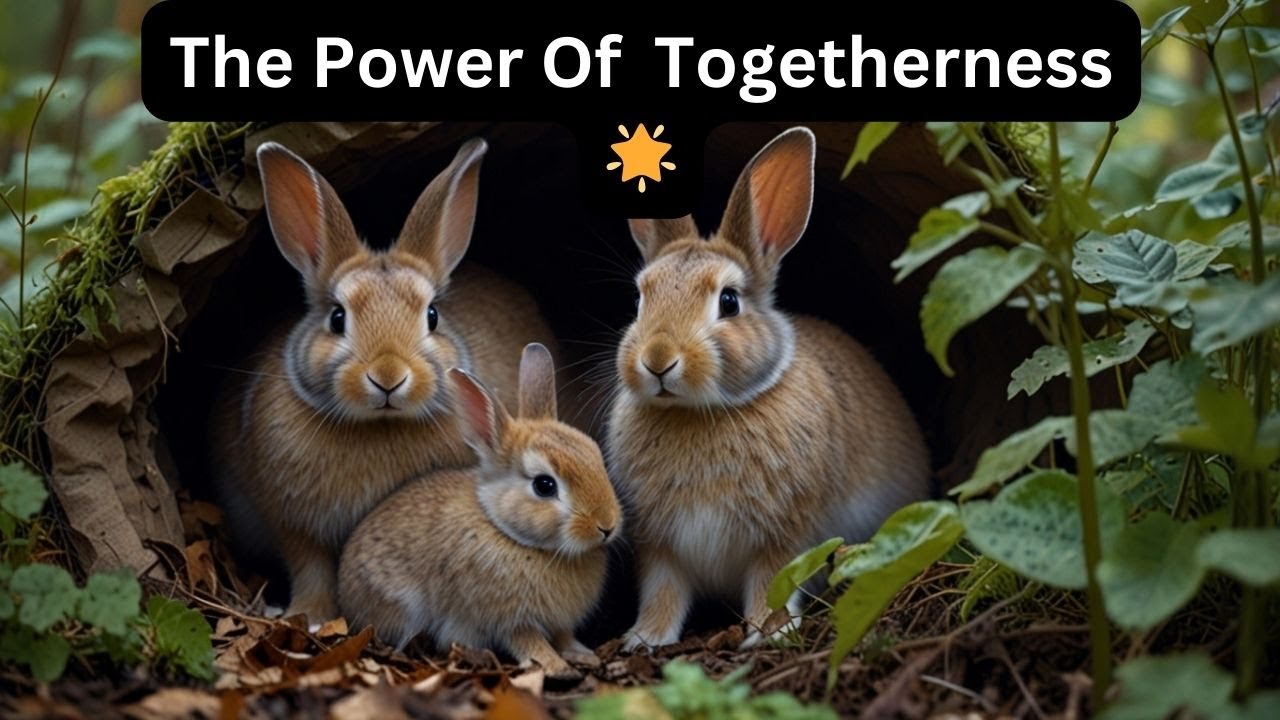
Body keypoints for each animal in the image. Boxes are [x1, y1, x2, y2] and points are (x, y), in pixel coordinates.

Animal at [210, 138, 557, 624]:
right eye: (337, 318)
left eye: (432, 316)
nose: (388, 377)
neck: (381, 425)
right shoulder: (293, 524)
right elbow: (310, 566)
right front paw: (310, 615)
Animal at [337, 343, 621, 679]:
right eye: (544, 485)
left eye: (596, 455)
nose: (606, 526)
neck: (506, 531)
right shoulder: (511, 620)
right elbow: (530, 643)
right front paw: (558, 667)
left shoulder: (557, 622)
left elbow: (564, 636)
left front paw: (583, 654)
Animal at [607, 126, 931, 651]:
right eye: (639, 299)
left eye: (729, 301)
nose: (657, 360)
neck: (699, 413)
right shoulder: (660, 546)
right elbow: (663, 591)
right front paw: (646, 638)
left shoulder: (783, 535)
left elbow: (771, 580)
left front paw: (769, 634)